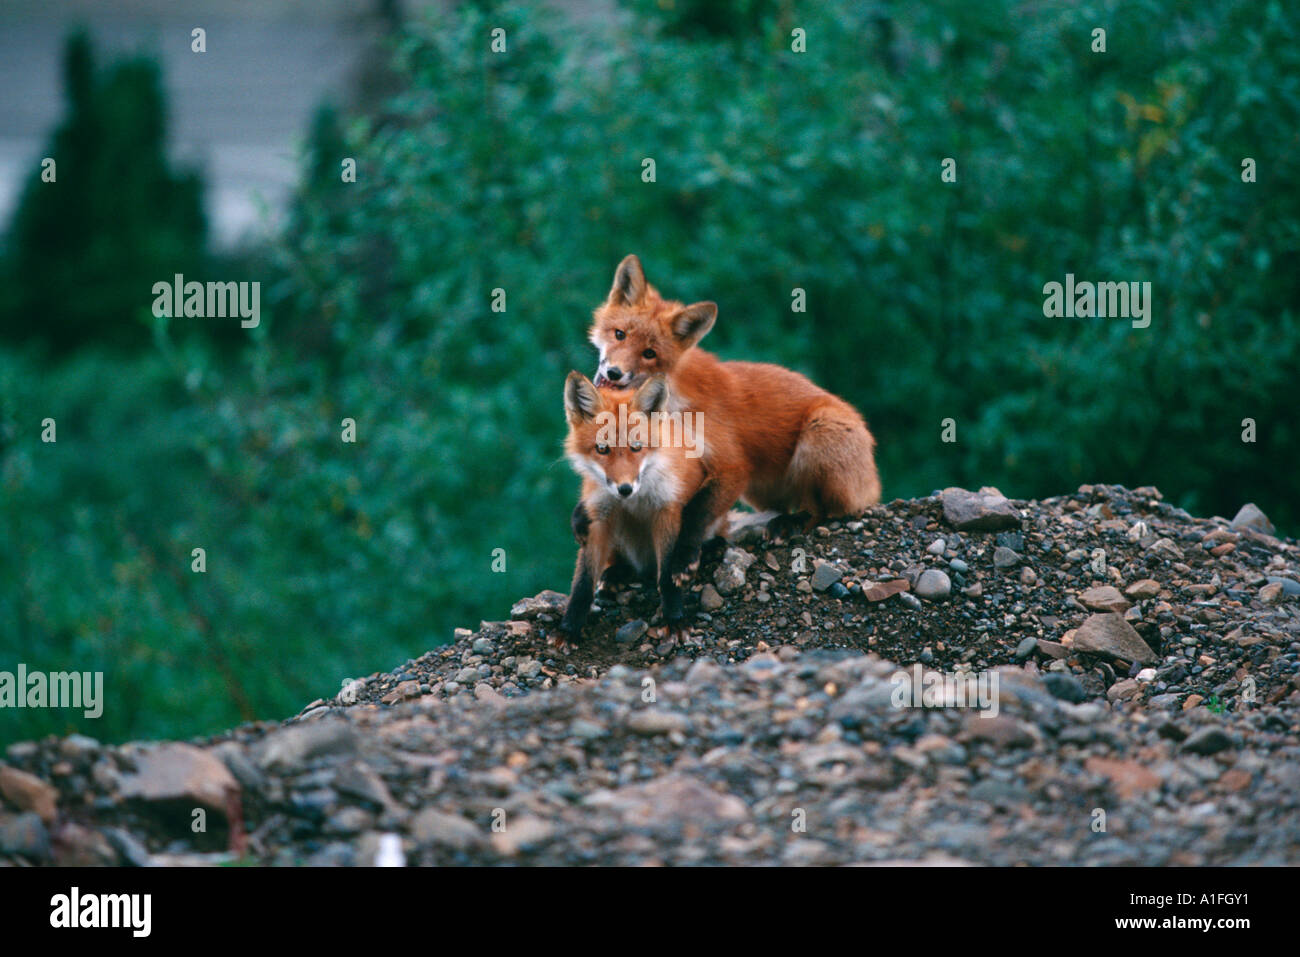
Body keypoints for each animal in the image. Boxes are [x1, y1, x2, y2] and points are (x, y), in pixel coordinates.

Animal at [555, 371, 747, 649]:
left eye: (637, 447)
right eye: (602, 449)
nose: (624, 489)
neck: (637, 497)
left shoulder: (666, 510)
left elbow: (666, 572)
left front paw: (674, 619)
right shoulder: (599, 515)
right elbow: (583, 581)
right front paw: (569, 628)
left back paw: (711, 549)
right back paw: (617, 574)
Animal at [578, 254, 881, 532]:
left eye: (649, 354)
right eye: (619, 334)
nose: (613, 373)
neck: (674, 405)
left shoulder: (730, 464)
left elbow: (696, 515)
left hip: (818, 435)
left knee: (826, 510)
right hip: (761, 490)